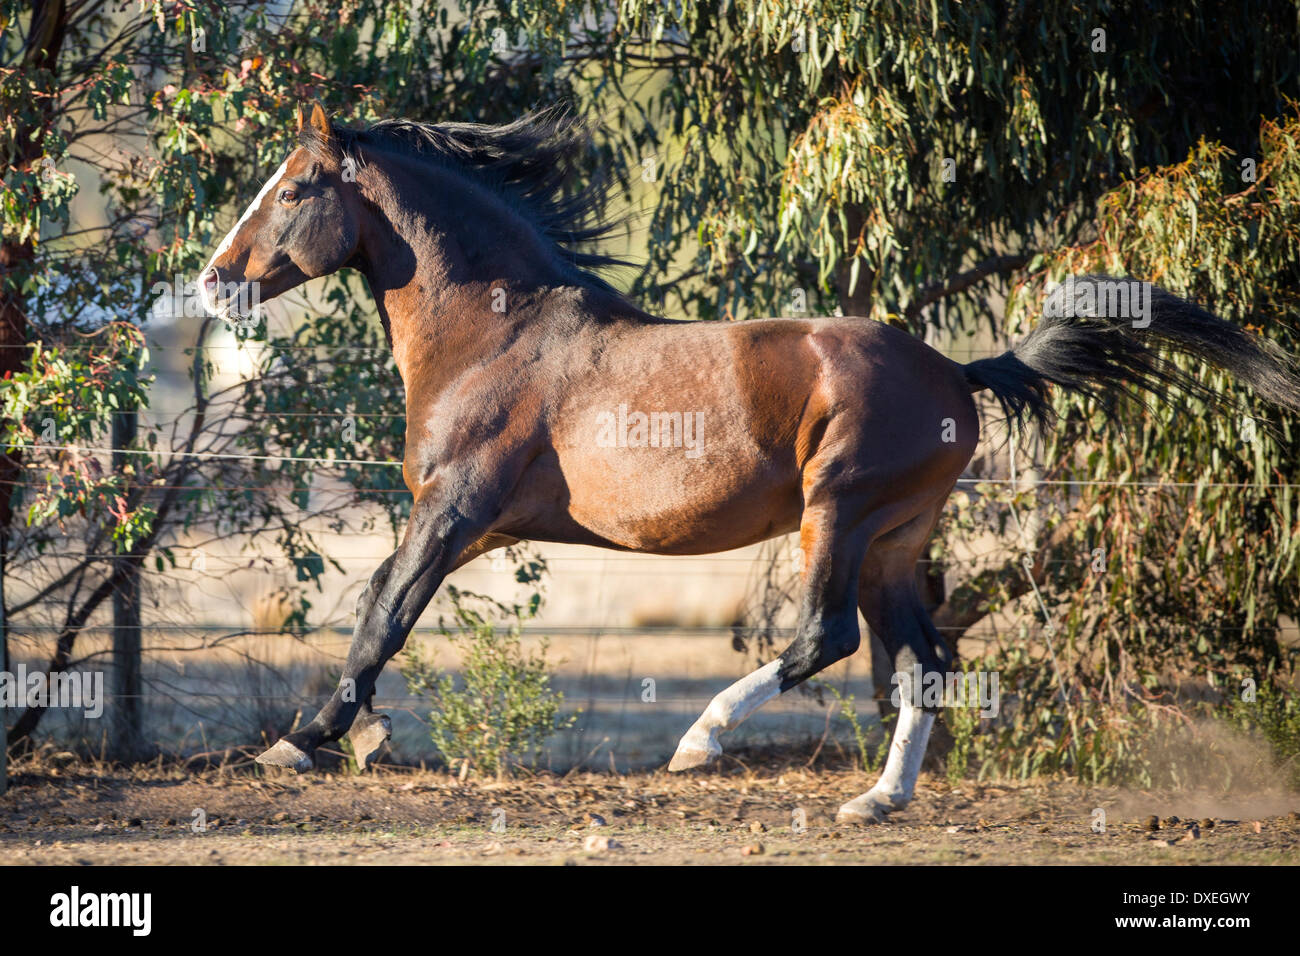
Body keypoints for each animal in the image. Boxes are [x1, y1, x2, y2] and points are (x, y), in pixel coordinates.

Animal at [200, 103, 1300, 822]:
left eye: (295, 188)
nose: (212, 283)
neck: (495, 336)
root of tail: (954, 368)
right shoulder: (469, 523)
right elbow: (377, 604)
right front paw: (339, 732)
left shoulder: (457, 510)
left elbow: (384, 613)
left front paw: (305, 740)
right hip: (893, 538)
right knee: (925, 661)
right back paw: (876, 800)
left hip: (837, 511)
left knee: (827, 638)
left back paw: (701, 741)